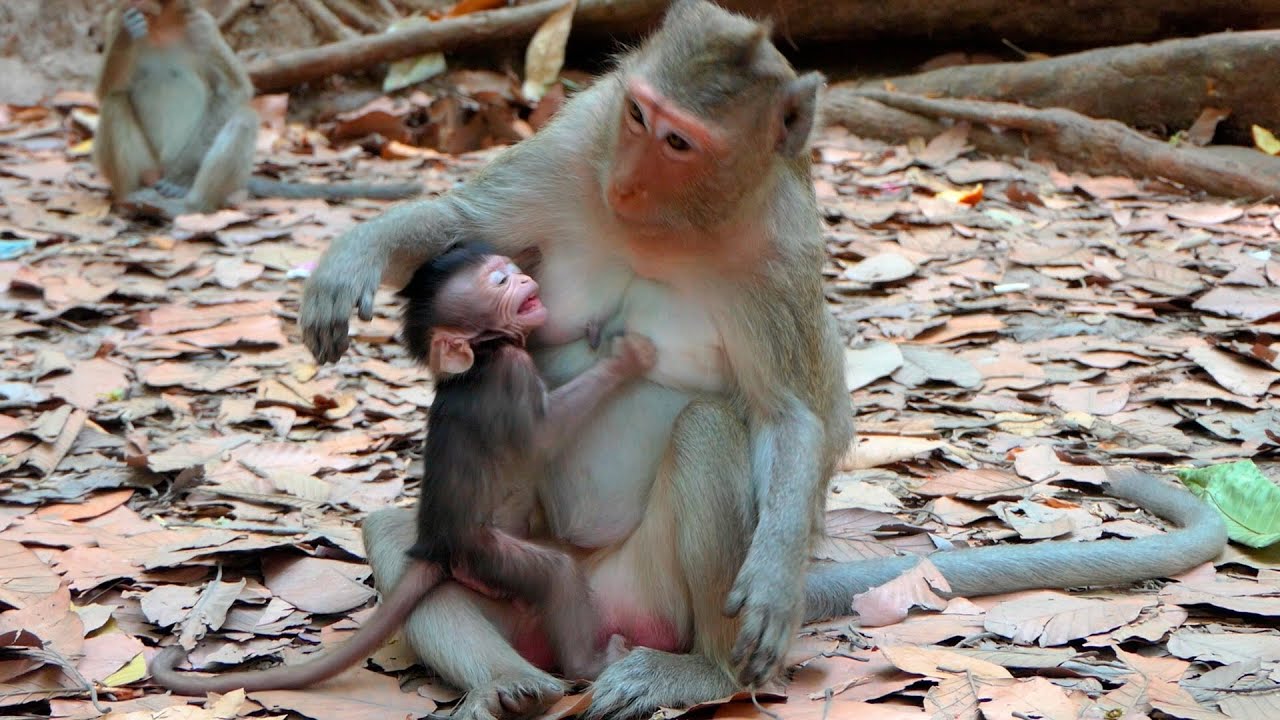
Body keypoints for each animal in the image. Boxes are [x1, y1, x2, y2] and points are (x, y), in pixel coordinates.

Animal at [93, 0, 420, 217]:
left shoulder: (202, 28)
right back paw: (130, 198)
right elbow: (105, 91)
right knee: (114, 103)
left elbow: (235, 89)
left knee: (244, 119)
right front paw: (127, 32)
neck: (161, 25)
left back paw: (188, 205)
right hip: (147, 165)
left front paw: (179, 178)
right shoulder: (113, 19)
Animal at [150, 242, 653, 694]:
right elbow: (544, 436)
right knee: (556, 574)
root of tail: (433, 546)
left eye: (509, 270)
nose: (525, 277)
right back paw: (589, 663)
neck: (480, 359)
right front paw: (624, 360)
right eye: (499, 281)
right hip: (482, 553)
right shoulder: (509, 371)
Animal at [296, 2, 1227, 718]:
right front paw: (352, 258)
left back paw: (699, 672)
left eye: (679, 143)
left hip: (651, 598)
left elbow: (789, 415)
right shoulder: (579, 144)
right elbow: (466, 218)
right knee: (402, 536)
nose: (625, 181)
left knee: (711, 432)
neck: (669, 223)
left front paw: (774, 573)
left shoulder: (780, 252)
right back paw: (506, 682)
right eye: (638, 117)